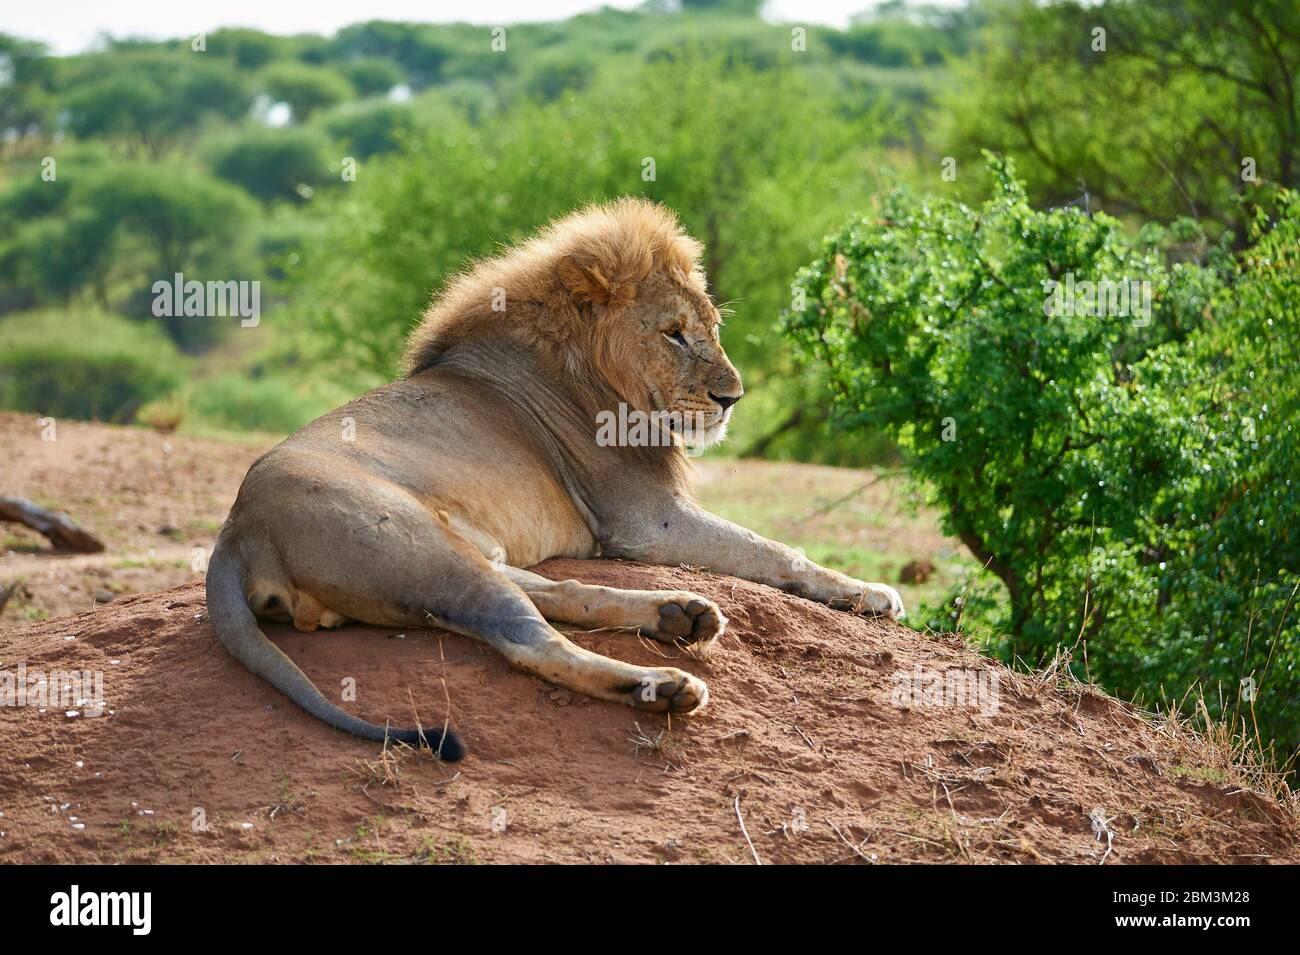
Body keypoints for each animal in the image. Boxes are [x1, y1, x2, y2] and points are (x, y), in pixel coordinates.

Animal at [206, 197, 903, 760]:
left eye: (712, 329)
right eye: (674, 335)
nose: (732, 398)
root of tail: (236, 532)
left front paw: (866, 595)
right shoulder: (643, 518)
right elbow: (772, 548)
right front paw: (869, 589)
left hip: (452, 549)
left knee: (555, 589)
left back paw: (679, 615)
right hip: (415, 544)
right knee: (528, 636)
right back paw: (665, 686)